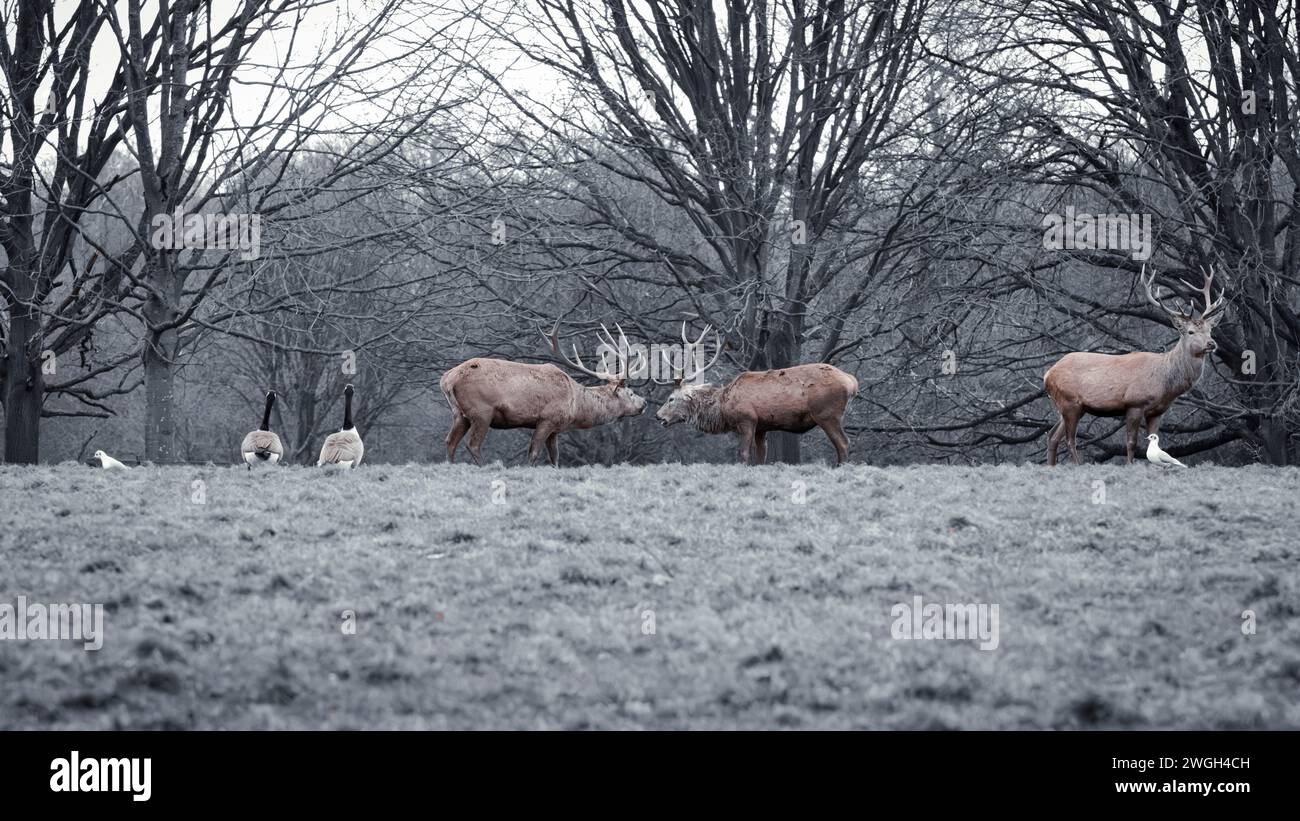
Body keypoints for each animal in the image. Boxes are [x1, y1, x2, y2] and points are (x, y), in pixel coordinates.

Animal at [439, 324, 647, 466]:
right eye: (631, 393)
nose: (644, 403)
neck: (576, 405)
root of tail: (447, 379)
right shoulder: (547, 418)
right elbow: (534, 452)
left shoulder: (555, 428)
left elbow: (555, 456)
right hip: (482, 411)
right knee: (472, 444)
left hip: (459, 414)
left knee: (450, 441)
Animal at [655, 325, 860, 465]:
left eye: (671, 399)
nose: (658, 416)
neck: (723, 407)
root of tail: (852, 382)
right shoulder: (762, 426)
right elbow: (762, 457)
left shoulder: (747, 420)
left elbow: (744, 454)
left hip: (827, 413)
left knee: (843, 443)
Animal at [1044, 264, 1226, 465]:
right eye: (1191, 331)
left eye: (1210, 330)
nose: (1212, 344)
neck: (1166, 382)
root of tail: (1047, 374)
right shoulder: (1135, 403)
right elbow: (1131, 443)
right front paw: (1130, 465)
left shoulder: (1157, 412)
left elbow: (1155, 442)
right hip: (1070, 403)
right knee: (1070, 439)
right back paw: (1078, 464)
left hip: (1070, 407)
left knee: (1052, 436)